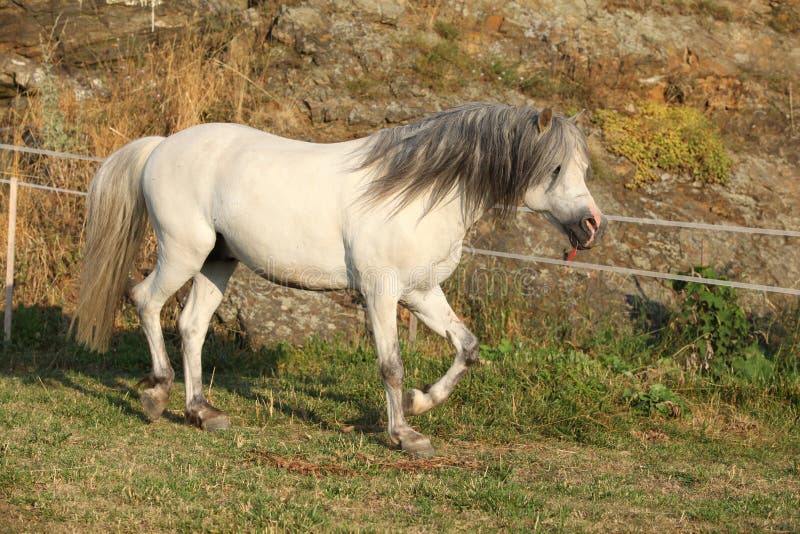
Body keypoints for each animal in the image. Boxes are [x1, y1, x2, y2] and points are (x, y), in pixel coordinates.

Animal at [72, 103, 606, 457]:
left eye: (583, 167)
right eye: (555, 167)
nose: (591, 225)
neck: (417, 192)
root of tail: (161, 146)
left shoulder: (421, 292)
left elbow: (467, 347)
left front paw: (418, 403)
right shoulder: (381, 292)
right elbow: (391, 365)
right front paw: (405, 435)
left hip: (217, 262)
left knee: (191, 327)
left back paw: (203, 412)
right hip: (184, 252)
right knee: (144, 300)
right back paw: (156, 395)